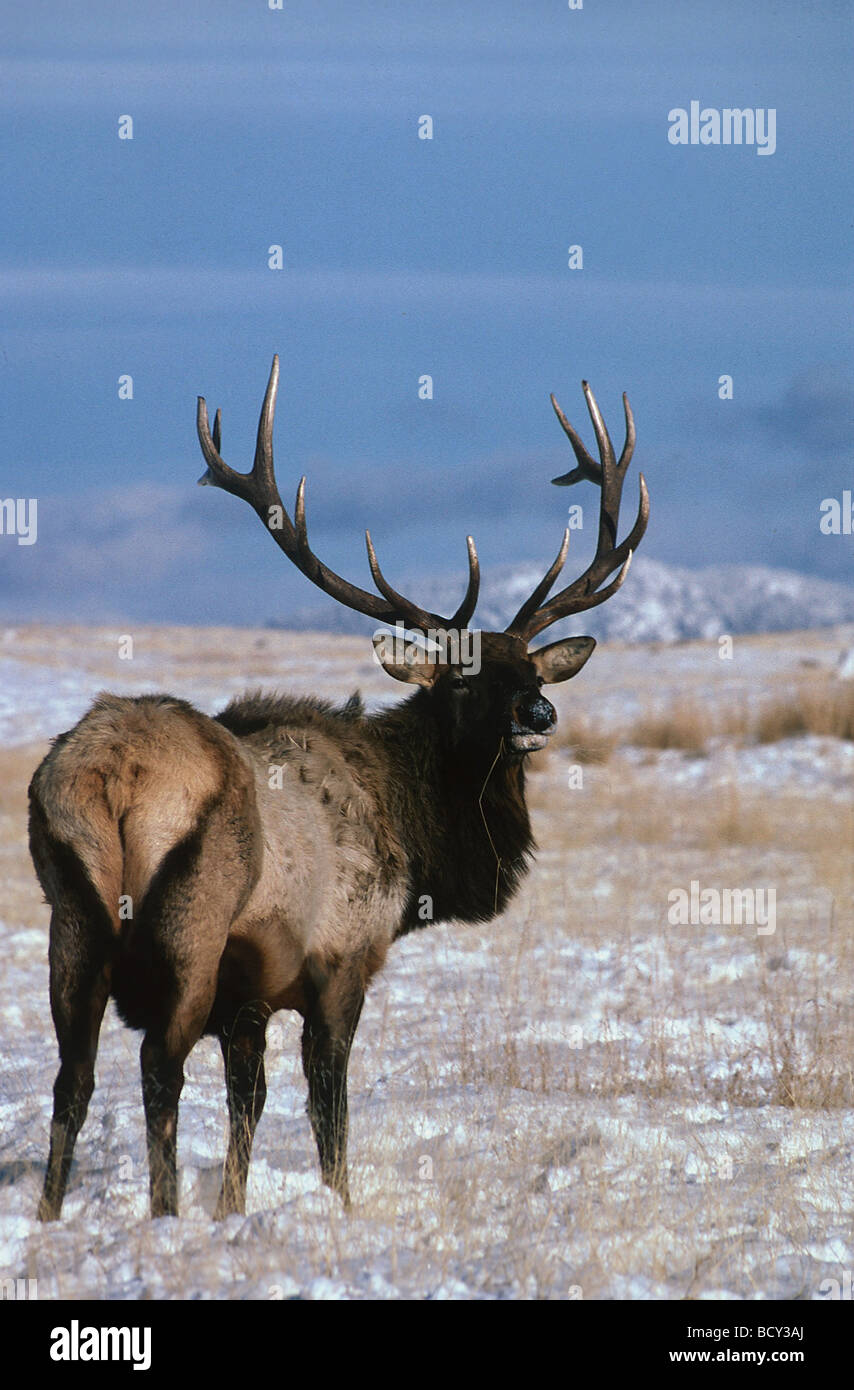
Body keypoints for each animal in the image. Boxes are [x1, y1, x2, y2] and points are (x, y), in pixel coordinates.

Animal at [29, 355, 649, 1222]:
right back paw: (164, 1216)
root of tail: (110, 773)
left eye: (530, 670)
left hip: (72, 919)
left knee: (73, 1079)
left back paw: (53, 1216)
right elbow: (329, 1107)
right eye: (463, 680)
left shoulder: (249, 996)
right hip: (192, 923)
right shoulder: (338, 960)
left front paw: (234, 1210)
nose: (539, 713)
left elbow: (248, 1107)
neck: (418, 846)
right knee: (158, 1066)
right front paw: (337, 1207)